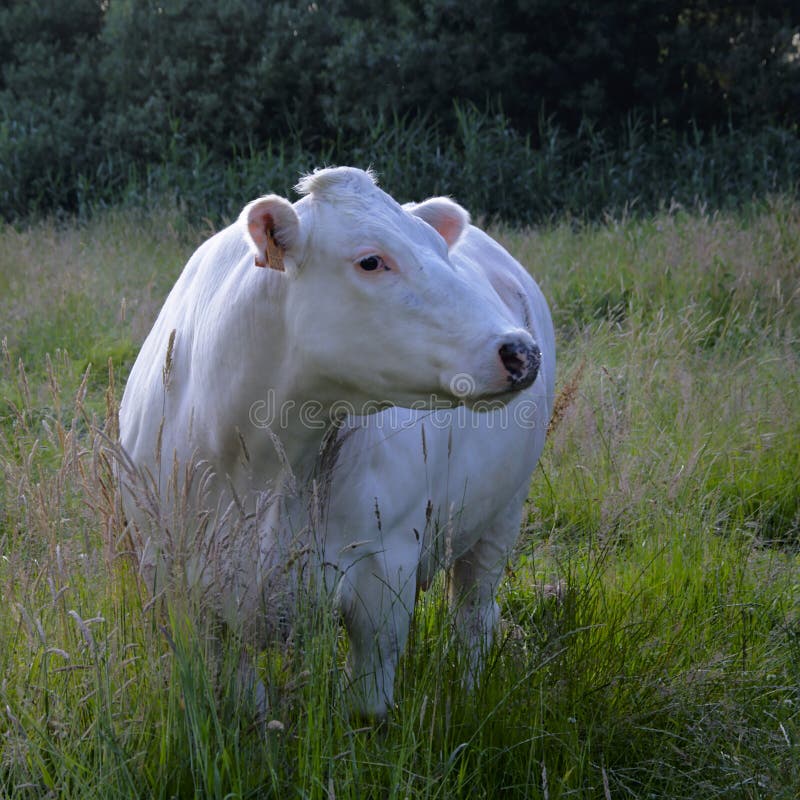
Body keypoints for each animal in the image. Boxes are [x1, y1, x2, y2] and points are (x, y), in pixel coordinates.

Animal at [118, 166, 555, 718]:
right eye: (370, 260)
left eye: (440, 249)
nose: (519, 350)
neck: (263, 469)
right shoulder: (178, 586)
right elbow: (245, 703)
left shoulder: (385, 570)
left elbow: (367, 702)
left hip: (502, 512)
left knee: (474, 615)